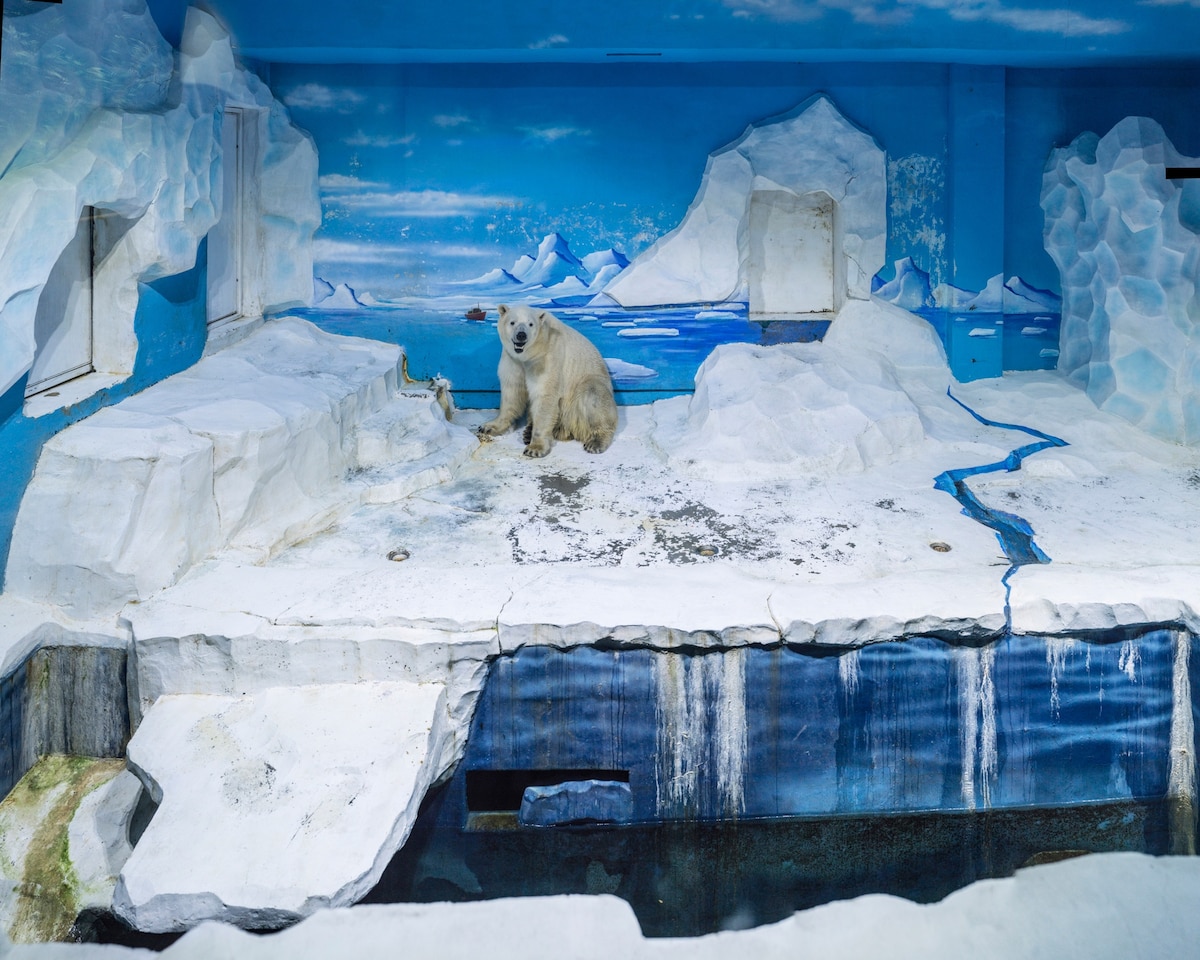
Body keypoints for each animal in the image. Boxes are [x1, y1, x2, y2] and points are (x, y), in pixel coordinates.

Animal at [476, 304, 618, 458]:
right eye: (512, 322)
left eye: (530, 324)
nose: (521, 335)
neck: (530, 353)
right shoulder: (512, 360)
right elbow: (512, 391)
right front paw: (488, 426)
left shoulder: (547, 357)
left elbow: (545, 396)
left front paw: (535, 448)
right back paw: (528, 431)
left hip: (580, 398)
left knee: (594, 395)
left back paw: (595, 442)